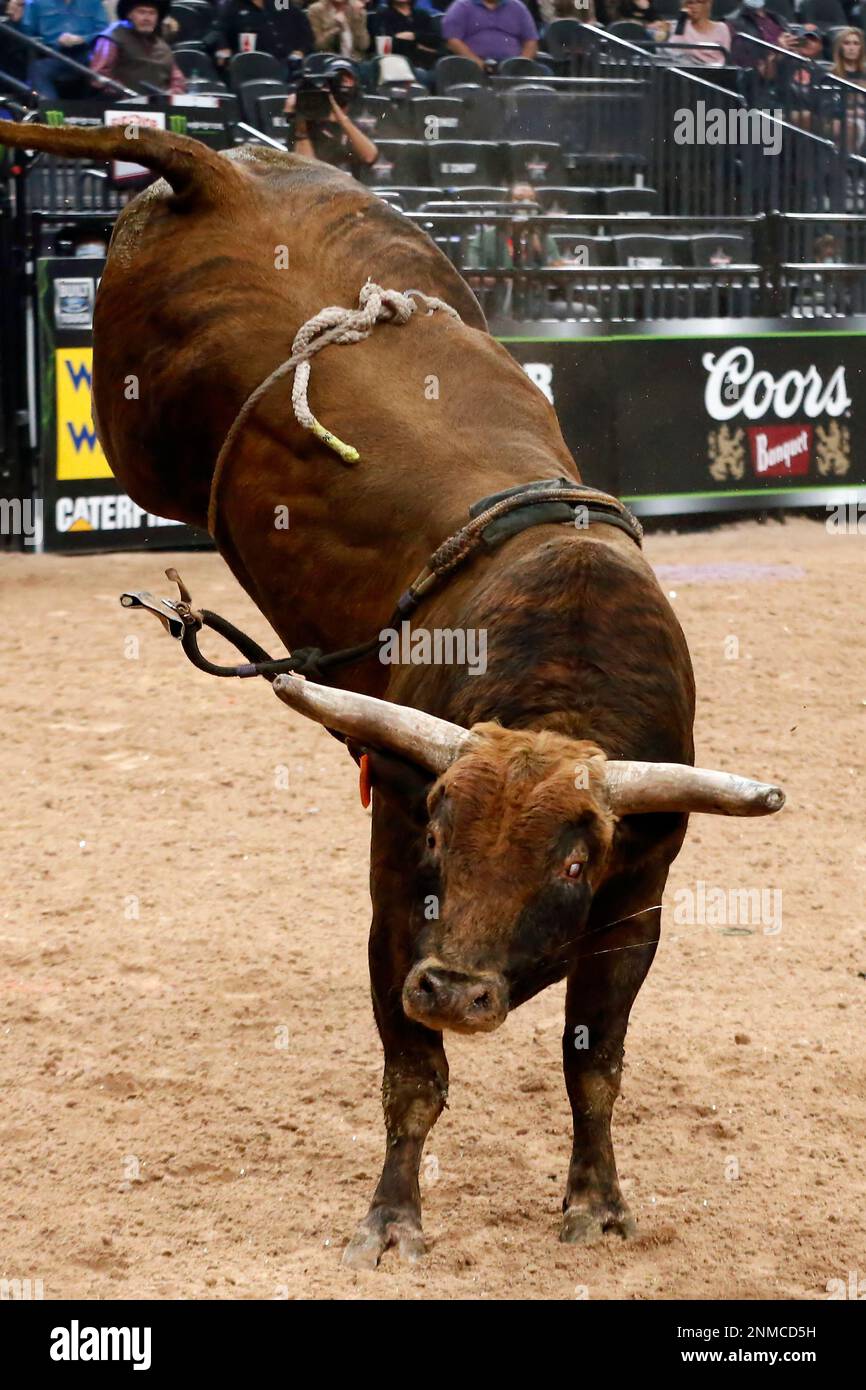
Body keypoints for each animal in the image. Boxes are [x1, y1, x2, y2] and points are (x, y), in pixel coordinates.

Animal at [0, 121, 784, 1268]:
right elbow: (414, 1075)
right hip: (135, 422)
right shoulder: (393, 899)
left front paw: (595, 1200)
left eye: (574, 859)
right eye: (443, 830)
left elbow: (593, 1066)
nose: (452, 990)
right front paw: (390, 1216)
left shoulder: (636, 904)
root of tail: (219, 174)